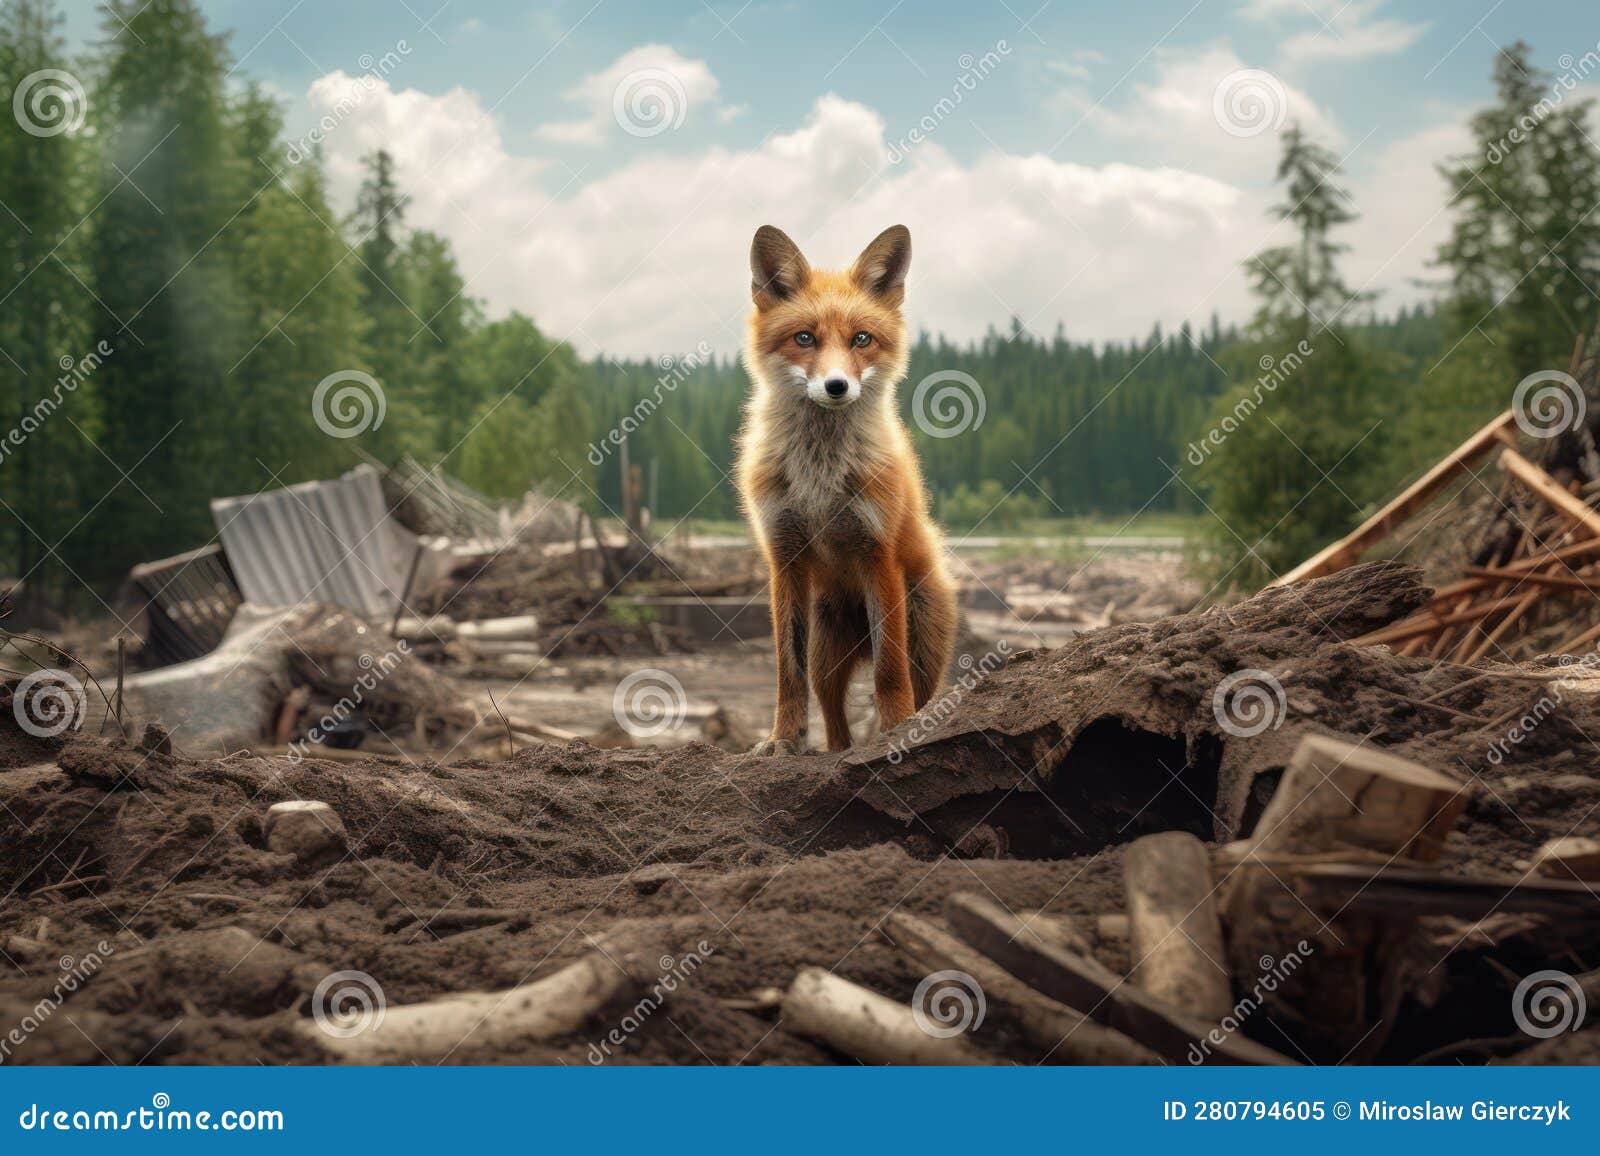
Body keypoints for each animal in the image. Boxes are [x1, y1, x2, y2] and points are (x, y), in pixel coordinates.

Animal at [736, 224, 958, 756]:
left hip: (922, 635)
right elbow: (786, 674)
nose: (836, 386)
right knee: (834, 718)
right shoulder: (784, 556)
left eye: (862, 339)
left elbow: (889, 671)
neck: (821, 479)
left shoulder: (879, 553)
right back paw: (833, 750)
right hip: (826, 654)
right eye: (804, 338)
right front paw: (782, 741)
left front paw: (898, 728)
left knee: (910, 682)